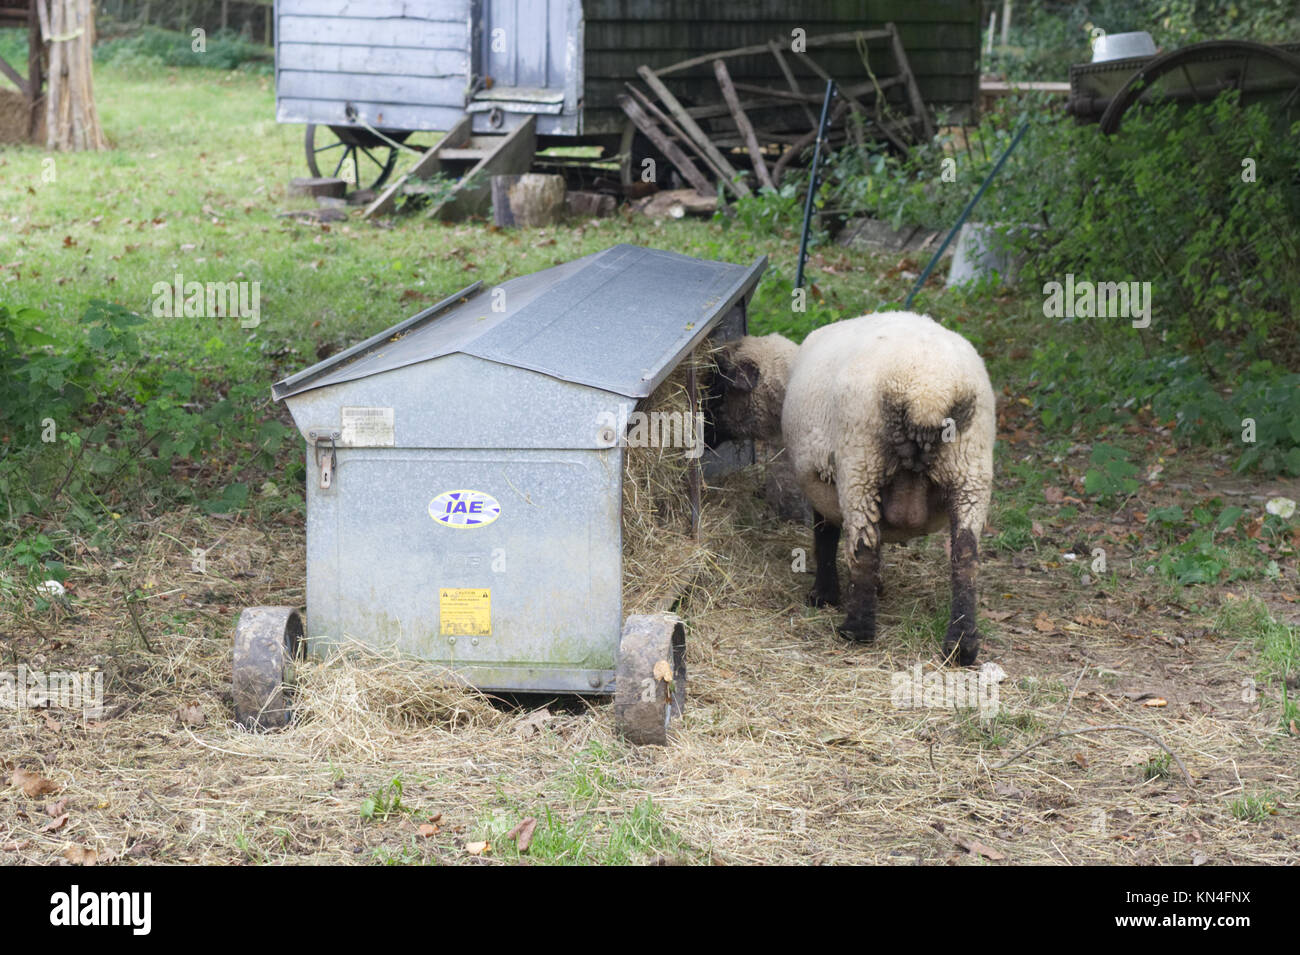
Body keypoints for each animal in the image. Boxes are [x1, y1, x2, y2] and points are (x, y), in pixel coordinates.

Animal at [707, 313, 996, 665]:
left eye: (717, 388)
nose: (701, 437)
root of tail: (927, 395)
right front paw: (875, 588)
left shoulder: (821, 477)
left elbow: (825, 535)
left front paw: (824, 594)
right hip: (970, 471)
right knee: (965, 558)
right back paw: (961, 646)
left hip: (861, 465)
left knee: (863, 549)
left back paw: (856, 630)